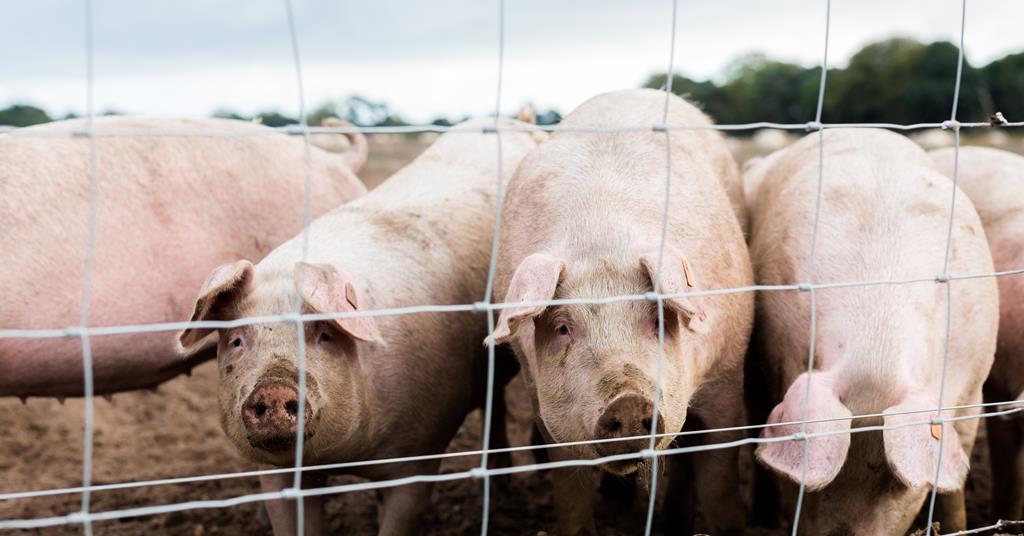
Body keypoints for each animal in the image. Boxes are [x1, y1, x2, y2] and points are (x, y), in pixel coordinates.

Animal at [176, 117, 542, 535]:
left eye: (324, 335)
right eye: (237, 340)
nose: (272, 388)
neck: (348, 458)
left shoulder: (419, 451)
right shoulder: (276, 475)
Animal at [488, 88, 754, 535]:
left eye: (659, 319)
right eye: (563, 327)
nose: (627, 402)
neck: (602, 241)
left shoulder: (728, 372)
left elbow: (718, 475)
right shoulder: (542, 398)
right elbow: (570, 493)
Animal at [745, 128, 998, 534]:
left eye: (893, 481)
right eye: (814, 486)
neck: (878, 346)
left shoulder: (973, 386)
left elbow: (953, 485)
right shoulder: (778, 358)